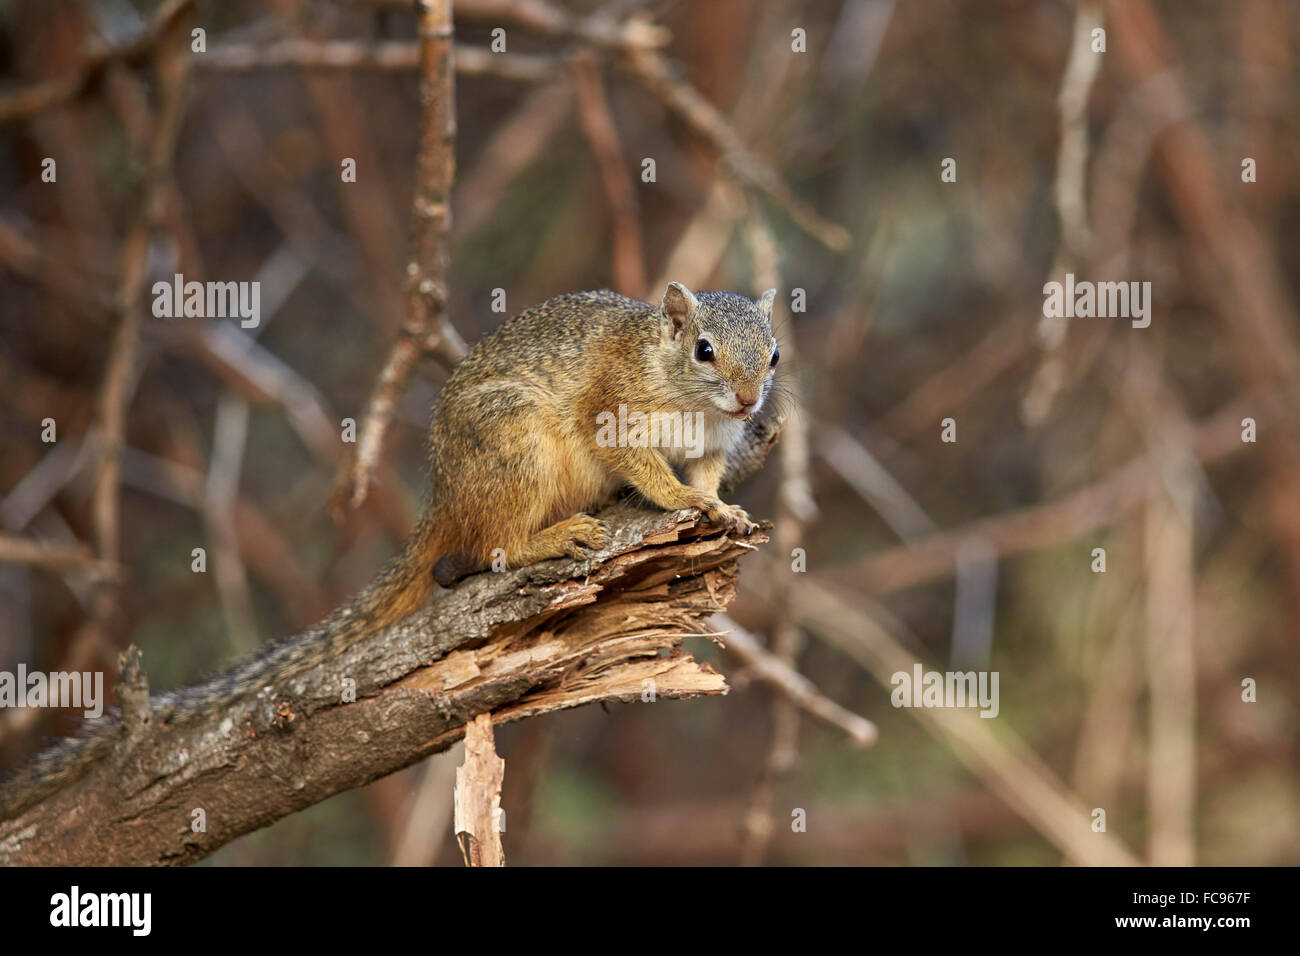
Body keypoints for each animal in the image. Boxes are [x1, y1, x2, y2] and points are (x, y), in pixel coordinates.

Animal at [0, 282, 782, 819]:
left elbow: (708, 472)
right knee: (493, 545)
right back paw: (552, 537)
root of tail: (444, 494)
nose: (751, 401)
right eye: (703, 349)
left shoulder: (714, 444)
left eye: (774, 353)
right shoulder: (615, 410)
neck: (680, 387)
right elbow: (644, 466)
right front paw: (680, 502)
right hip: (515, 447)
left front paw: (722, 506)